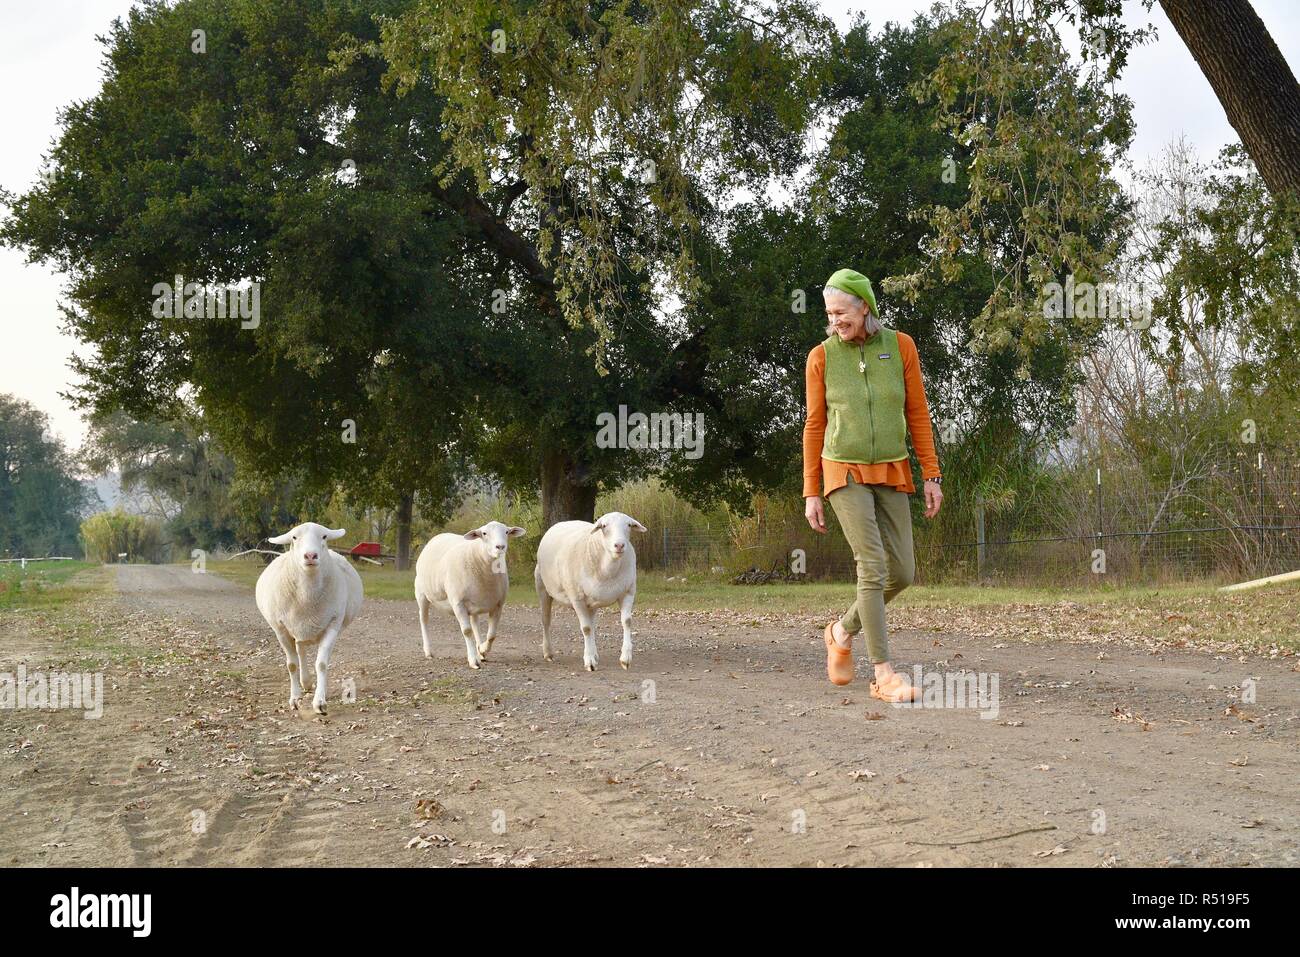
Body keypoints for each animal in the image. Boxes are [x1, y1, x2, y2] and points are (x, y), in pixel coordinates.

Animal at [254, 522, 363, 715]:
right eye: (294, 537)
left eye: (324, 536)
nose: (311, 555)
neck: (307, 596)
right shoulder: (281, 630)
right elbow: (292, 665)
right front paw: (295, 699)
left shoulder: (333, 624)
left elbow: (322, 664)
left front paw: (319, 701)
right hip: (295, 628)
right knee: (300, 650)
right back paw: (305, 682)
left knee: (305, 650)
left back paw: (310, 683)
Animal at [414, 521, 526, 669]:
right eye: (484, 533)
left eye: (507, 532)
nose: (500, 547)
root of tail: (439, 536)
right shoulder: (458, 603)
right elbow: (467, 631)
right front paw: (473, 660)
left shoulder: (498, 604)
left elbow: (492, 635)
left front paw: (482, 650)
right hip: (421, 594)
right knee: (424, 619)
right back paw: (428, 651)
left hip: (474, 603)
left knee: (475, 623)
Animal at [535, 512, 646, 671]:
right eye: (604, 526)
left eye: (629, 525)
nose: (619, 545)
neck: (608, 567)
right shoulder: (577, 598)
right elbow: (586, 628)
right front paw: (589, 662)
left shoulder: (628, 592)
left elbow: (627, 622)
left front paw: (625, 659)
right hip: (542, 587)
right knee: (546, 620)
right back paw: (548, 653)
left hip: (592, 602)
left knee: (592, 624)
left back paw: (594, 653)